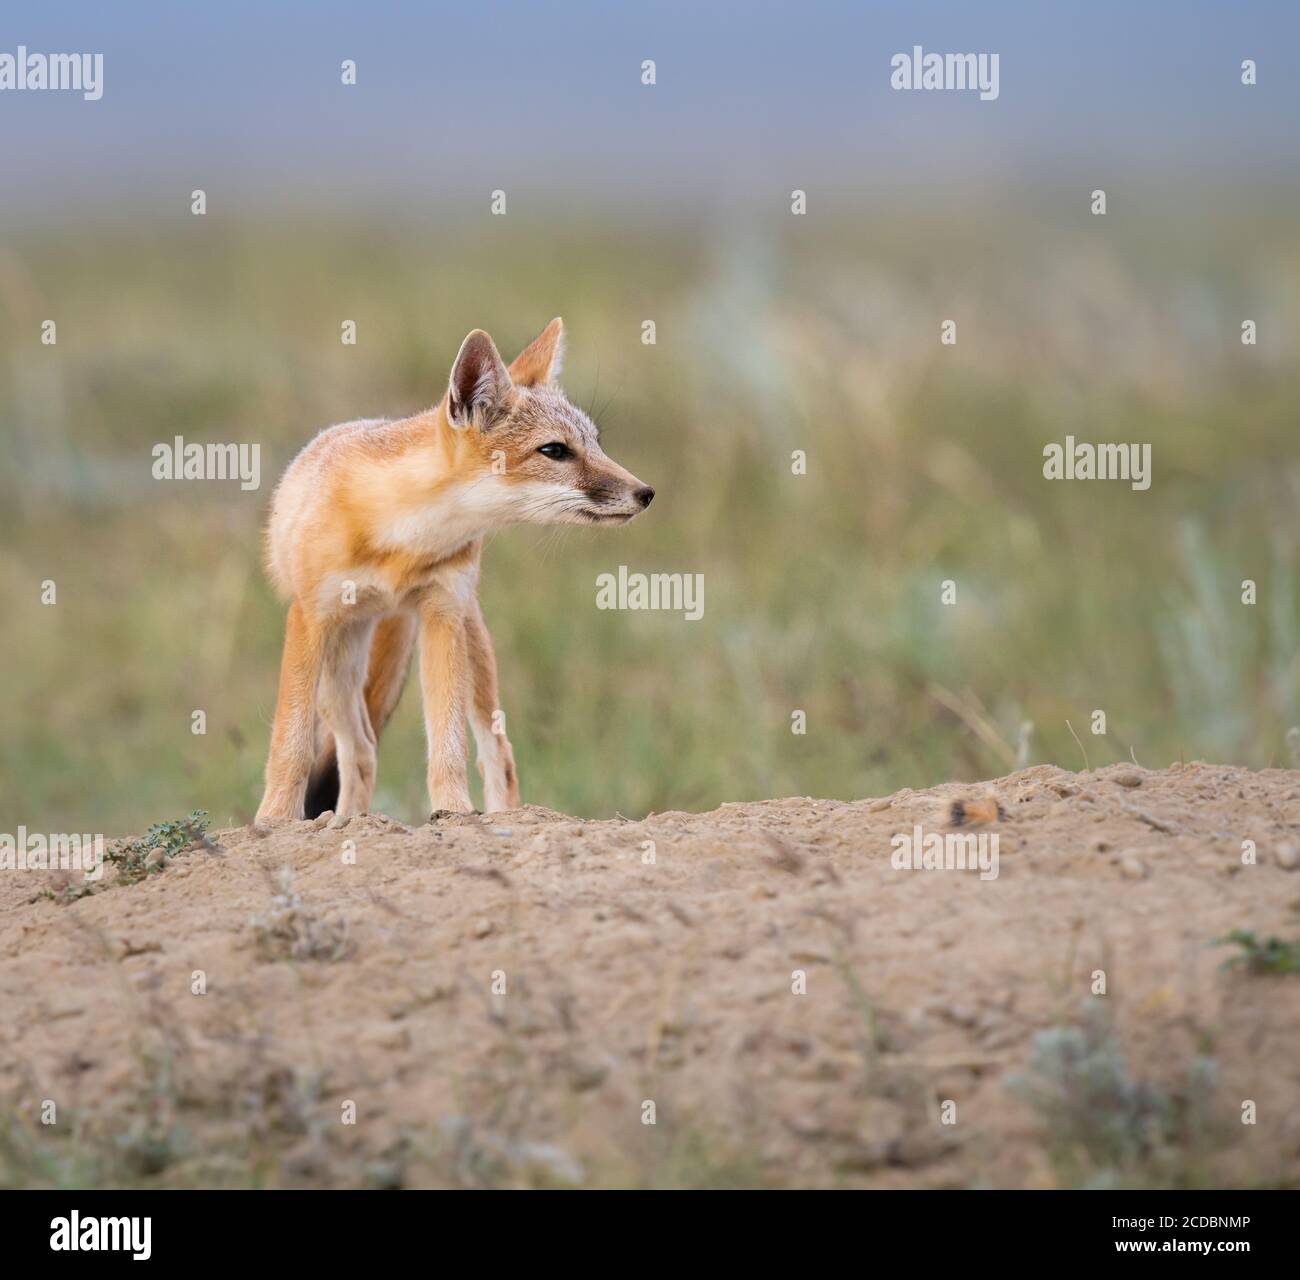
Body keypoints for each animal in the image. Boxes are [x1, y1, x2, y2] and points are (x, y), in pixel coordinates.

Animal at [255, 318, 654, 825]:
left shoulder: (442, 612)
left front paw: (454, 812)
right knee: (360, 748)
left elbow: (449, 743)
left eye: (597, 443)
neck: (402, 539)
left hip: (466, 640)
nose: (646, 493)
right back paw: (348, 820)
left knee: (495, 751)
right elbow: (290, 744)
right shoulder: (308, 618)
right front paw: (273, 819)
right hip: (336, 670)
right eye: (555, 450)